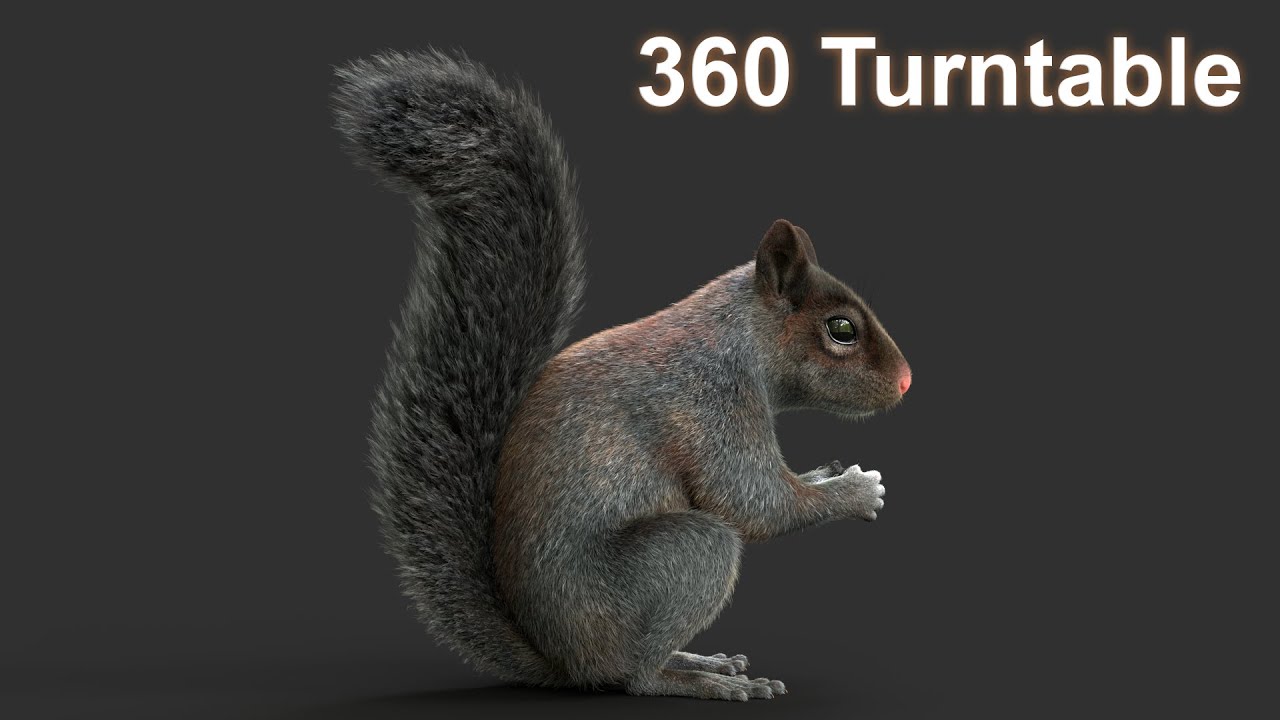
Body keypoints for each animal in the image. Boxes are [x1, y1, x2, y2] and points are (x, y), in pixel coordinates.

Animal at [334, 50, 912, 702]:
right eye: (841, 330)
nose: (906, 381)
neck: (740, 335)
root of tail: (564, 663)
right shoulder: (711, 401)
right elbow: (754, 502)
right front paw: (855, 490)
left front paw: (824, 472)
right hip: (681, 561)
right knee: (635, 673)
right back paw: (697, 681)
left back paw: (704, 660)